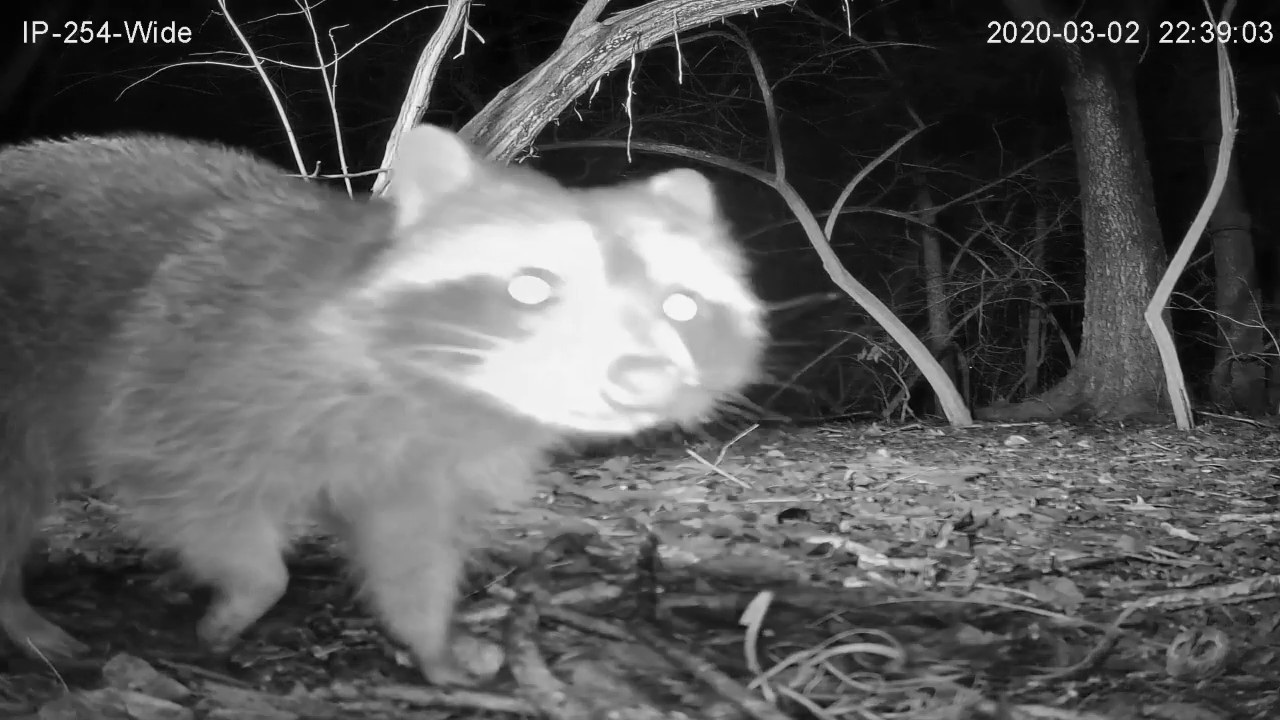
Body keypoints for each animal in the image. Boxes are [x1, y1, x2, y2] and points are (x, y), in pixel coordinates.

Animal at [0, 124, 765, 684]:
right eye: (532, 287)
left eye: (681, 304)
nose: (646, 375)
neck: (450, 395)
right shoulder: (197, 382)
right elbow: (183, 481)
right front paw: (246, 591)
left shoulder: (425, 465)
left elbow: (409, 545)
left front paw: (432, 639)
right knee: (14, 494)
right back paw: (17, 609)